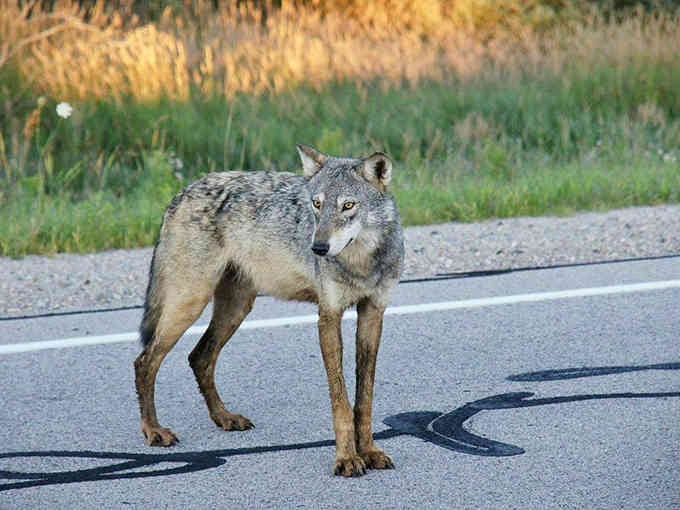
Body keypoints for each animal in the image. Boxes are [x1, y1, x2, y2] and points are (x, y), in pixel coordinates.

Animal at [134, 144, 404, 477]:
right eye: (316, 204)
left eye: (348, 205)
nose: (318, 248)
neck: (361, 262)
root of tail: (180, 194)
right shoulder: (328, 316)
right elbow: (341, 401)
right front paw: (346, 458)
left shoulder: (373, 313)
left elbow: (364, 399)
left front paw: (369, 451)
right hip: (190, 303)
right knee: (144, 362)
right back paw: (154, 431)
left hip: (235, 309)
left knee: (199, 357)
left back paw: (224, 417)